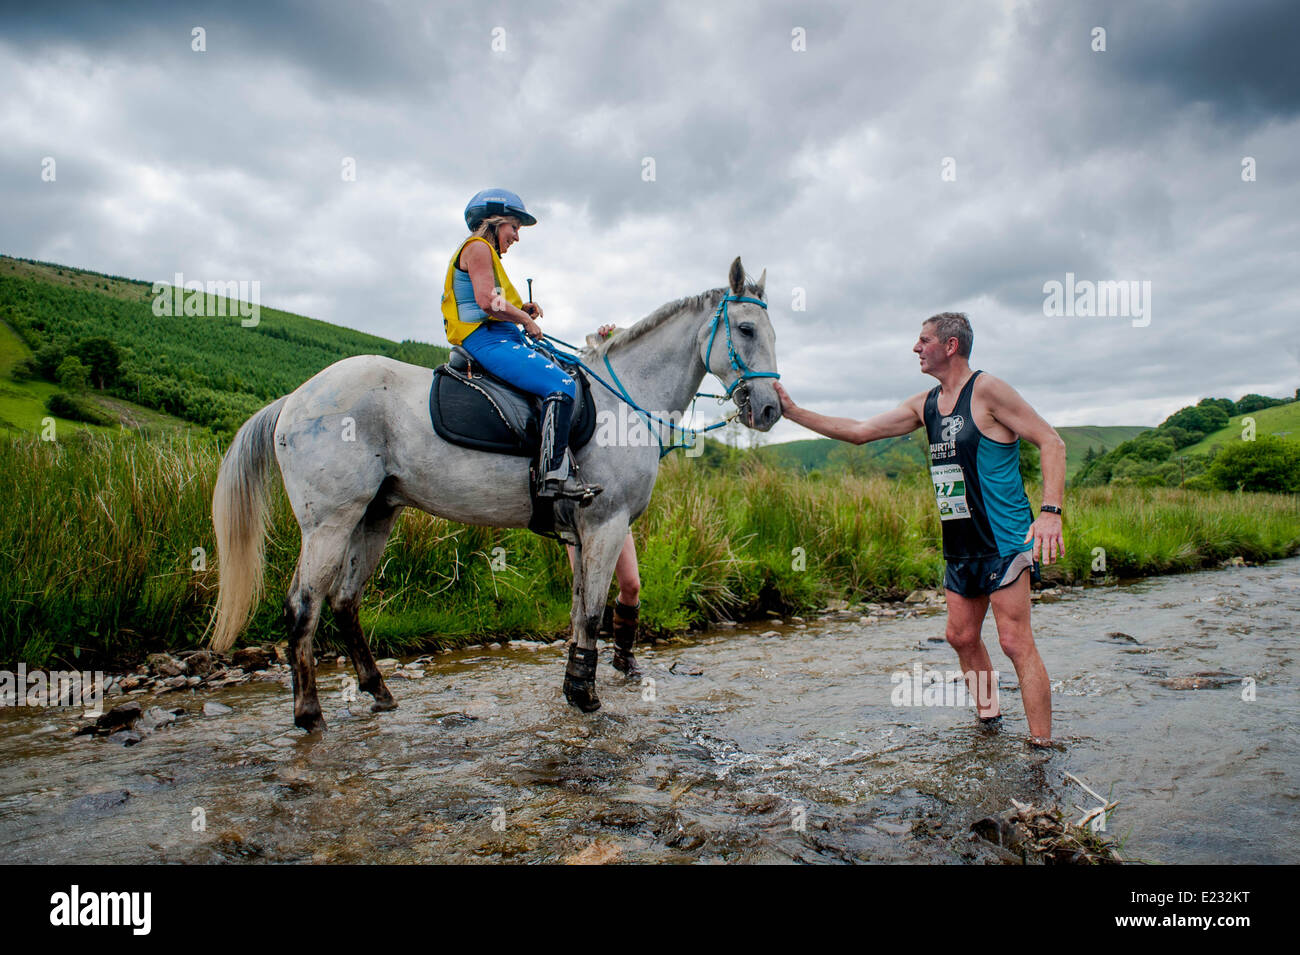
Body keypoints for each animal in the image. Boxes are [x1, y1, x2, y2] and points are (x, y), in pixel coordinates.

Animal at [209, 256, 781, 731]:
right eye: (747, 329)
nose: (771, 409)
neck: (625, 403)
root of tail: (295, 399)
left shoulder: (583, 534)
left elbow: (578, 611)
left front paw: (574, 685)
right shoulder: (606, 524)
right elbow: (593, 612)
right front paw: (586, 696)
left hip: (375, 515)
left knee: (345, 601)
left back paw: (379, 692)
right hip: (329, 521)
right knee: (303, 606)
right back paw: (310, 714)